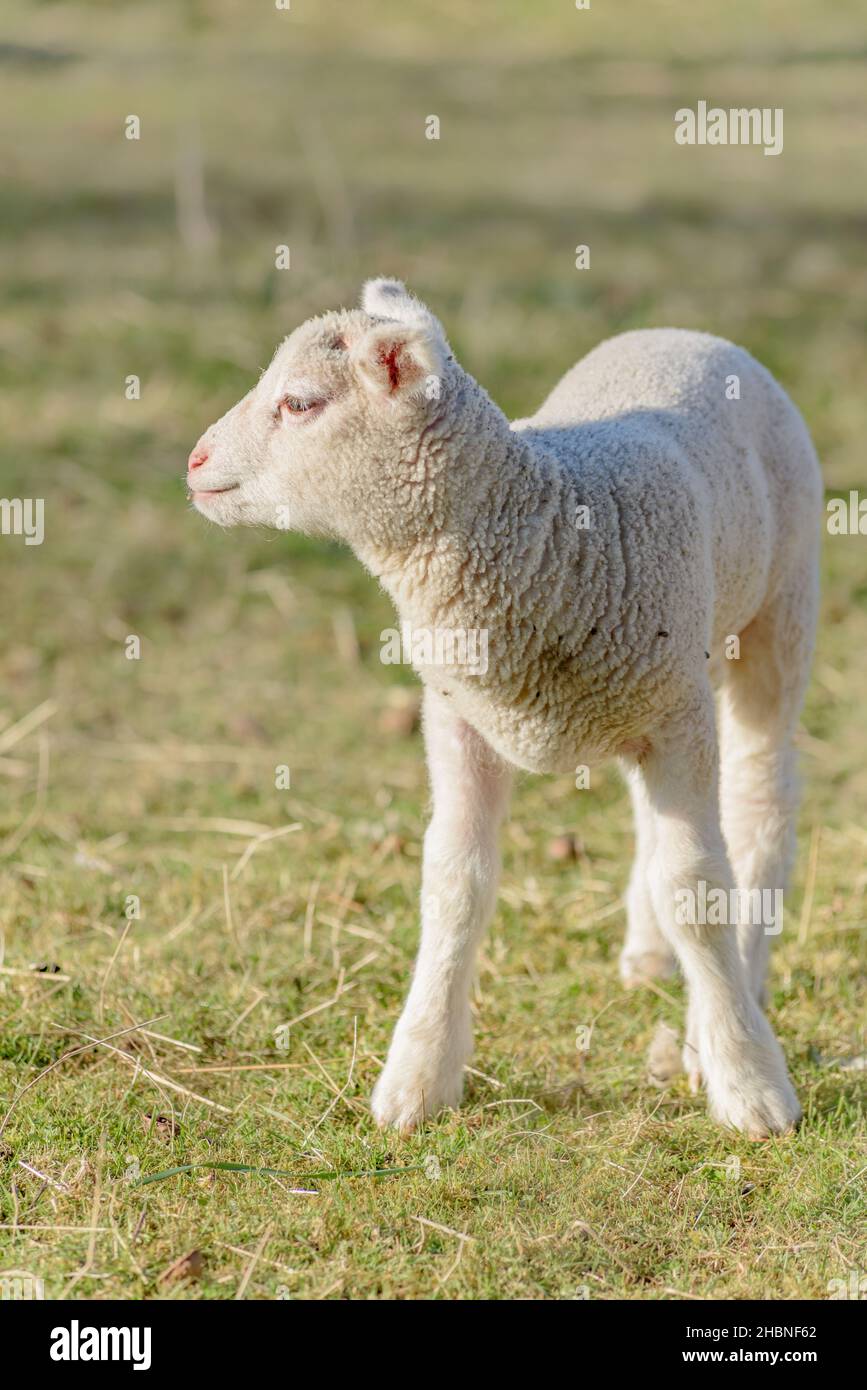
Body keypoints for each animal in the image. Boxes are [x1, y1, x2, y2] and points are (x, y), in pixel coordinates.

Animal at [187, 278, 822, 1138]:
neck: (549, 527)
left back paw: (740, 982)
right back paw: (648, 951)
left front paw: (746, 1079)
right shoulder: (461, 717)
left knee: (760, 796)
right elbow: (454, 882)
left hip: (777, 609)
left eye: (300, 402)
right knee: (649, 820)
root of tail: (688, 333)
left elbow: (695, 889)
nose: (194, 461)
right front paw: (417, 1076)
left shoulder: (675, 716)